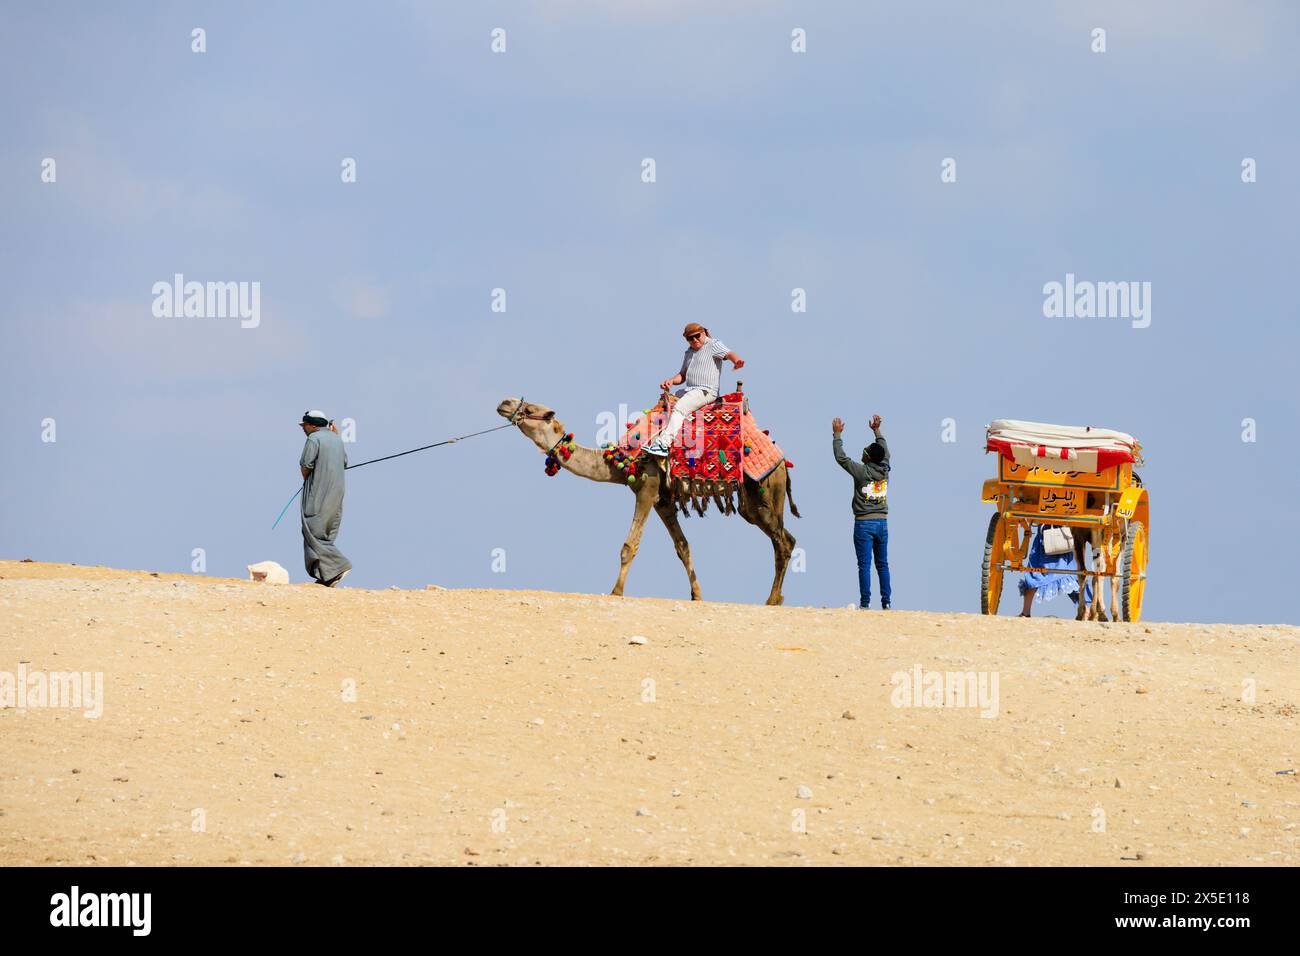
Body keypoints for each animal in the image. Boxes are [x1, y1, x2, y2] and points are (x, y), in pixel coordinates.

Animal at [497, 397, 800, 605]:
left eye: (531, 410)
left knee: (782, 542)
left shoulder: (647, 487)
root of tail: (783, 461)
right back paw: (777, 597)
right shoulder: (662, 501)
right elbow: (683, 547)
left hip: (763, 491)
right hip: (757, 501)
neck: (620, 462)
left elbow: (629, 546)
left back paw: (772, 600)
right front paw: (697, 595)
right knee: (785, 538)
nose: (504, 403)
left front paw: (616, 591)